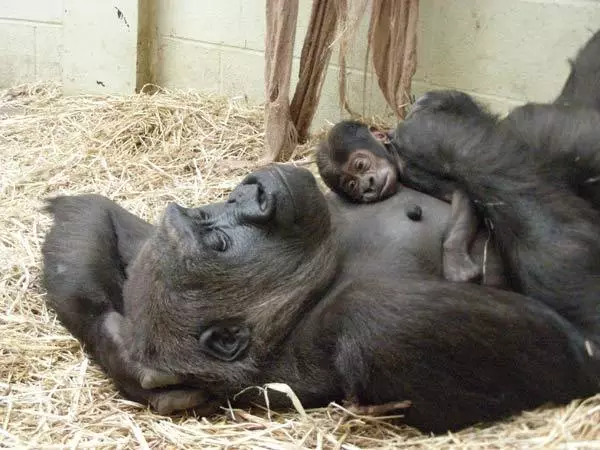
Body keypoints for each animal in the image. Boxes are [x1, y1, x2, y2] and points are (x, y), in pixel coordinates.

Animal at [43, 163, 600, 434]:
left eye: (207, 218)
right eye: (218, 243)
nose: (250, 193)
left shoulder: (149, 244)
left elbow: (97, 212)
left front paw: (121, 354)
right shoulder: (359, 332)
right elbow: (578, 350)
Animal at [316, 118, 480, 282]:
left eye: (360, 165)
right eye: (352, 185)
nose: (368, 185)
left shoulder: (408, 168)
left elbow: (457, 191)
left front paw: (455, 261)